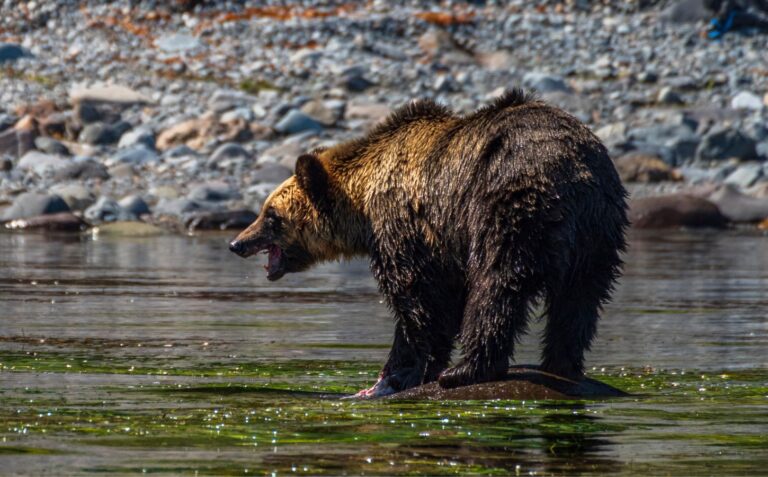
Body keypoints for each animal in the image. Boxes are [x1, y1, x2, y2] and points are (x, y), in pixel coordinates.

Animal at [229, 89, 628, 397]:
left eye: (270, 215)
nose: (237, 243)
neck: (363, 203)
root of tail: (572, 169)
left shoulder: (408, 227)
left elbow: (419, 301)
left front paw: (396, 375)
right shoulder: (442, 244)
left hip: (509, 206)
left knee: (497, 284)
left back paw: (467, 370)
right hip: (599, 228)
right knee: (580, 298)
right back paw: (561, 365)